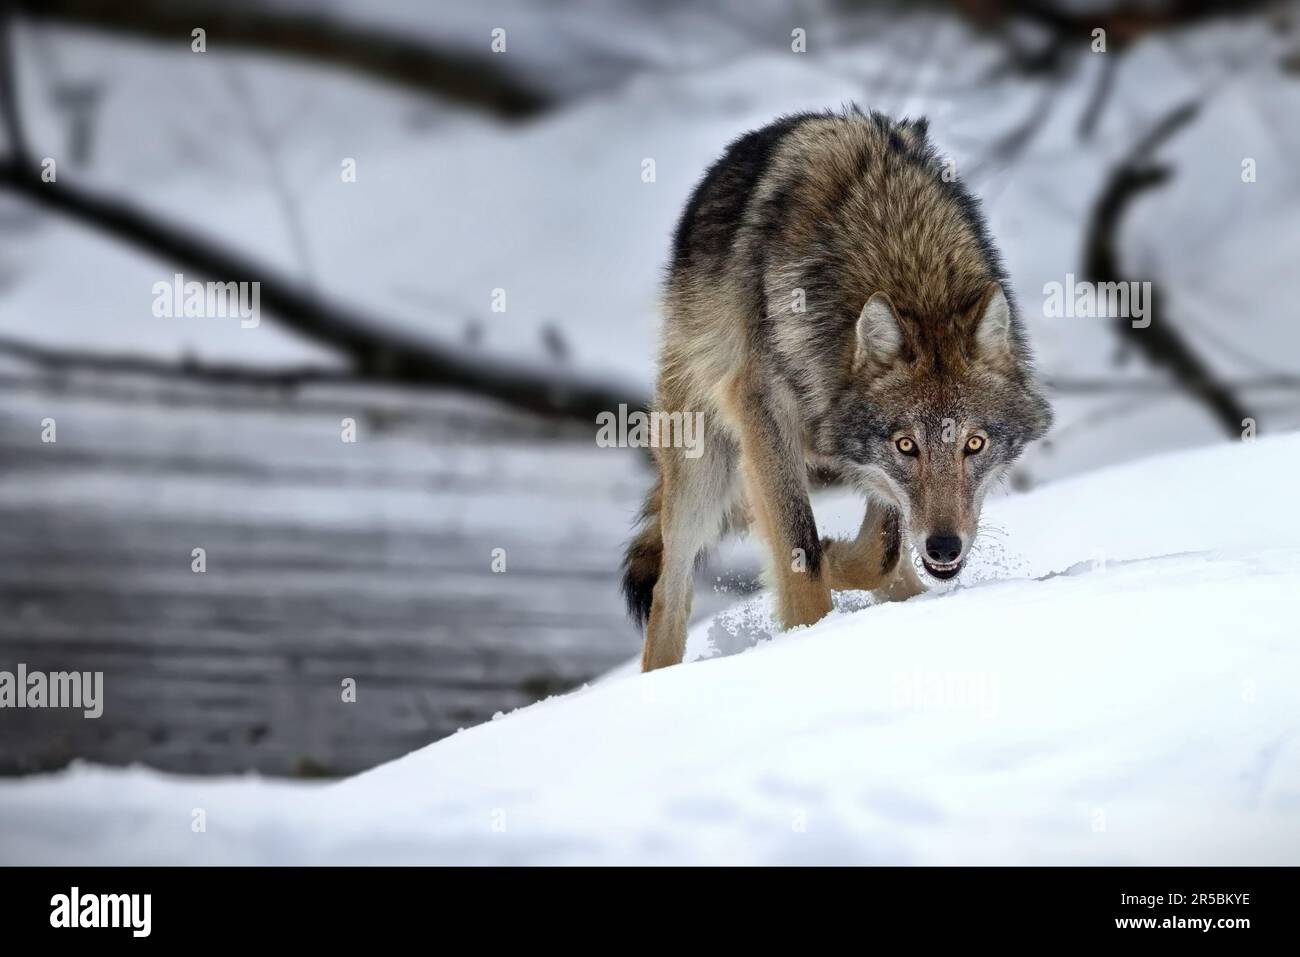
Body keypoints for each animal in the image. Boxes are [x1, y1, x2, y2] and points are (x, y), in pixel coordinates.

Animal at [622, 108, 1052, 672]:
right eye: (907, 446)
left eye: (974, 444)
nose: (943, 547)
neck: (905, 259)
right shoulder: (764, 412)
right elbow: (801, 550)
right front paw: (810, 633)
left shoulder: (869, 470)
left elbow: (880, 552)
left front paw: (840, 562)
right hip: (701, 468)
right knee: (669, 590)